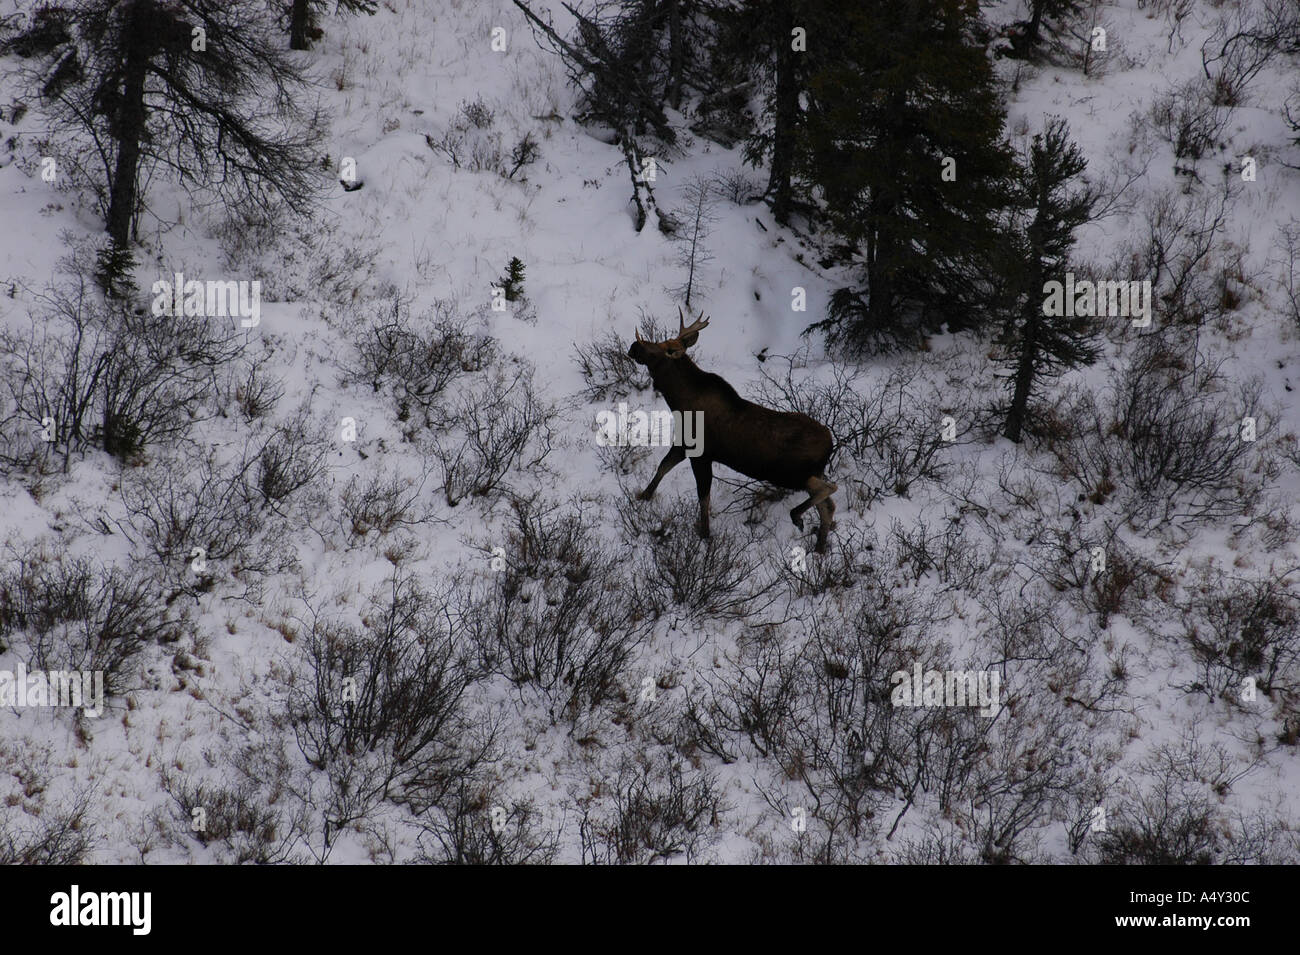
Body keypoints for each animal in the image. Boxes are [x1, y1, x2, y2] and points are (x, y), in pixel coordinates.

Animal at [627, 309, 838, 552]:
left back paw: (798, 517)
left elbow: (703, 497)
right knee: (828, 506)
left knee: (829, 489)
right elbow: (663, 467)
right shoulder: (683, 444)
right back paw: (819, 548)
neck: (677, 401)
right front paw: (643, 496)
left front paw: (705, 535)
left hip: (791, 473)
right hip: (809, 472)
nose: (634, 346)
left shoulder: (701, 454)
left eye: (665, 349)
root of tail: (831, 444)